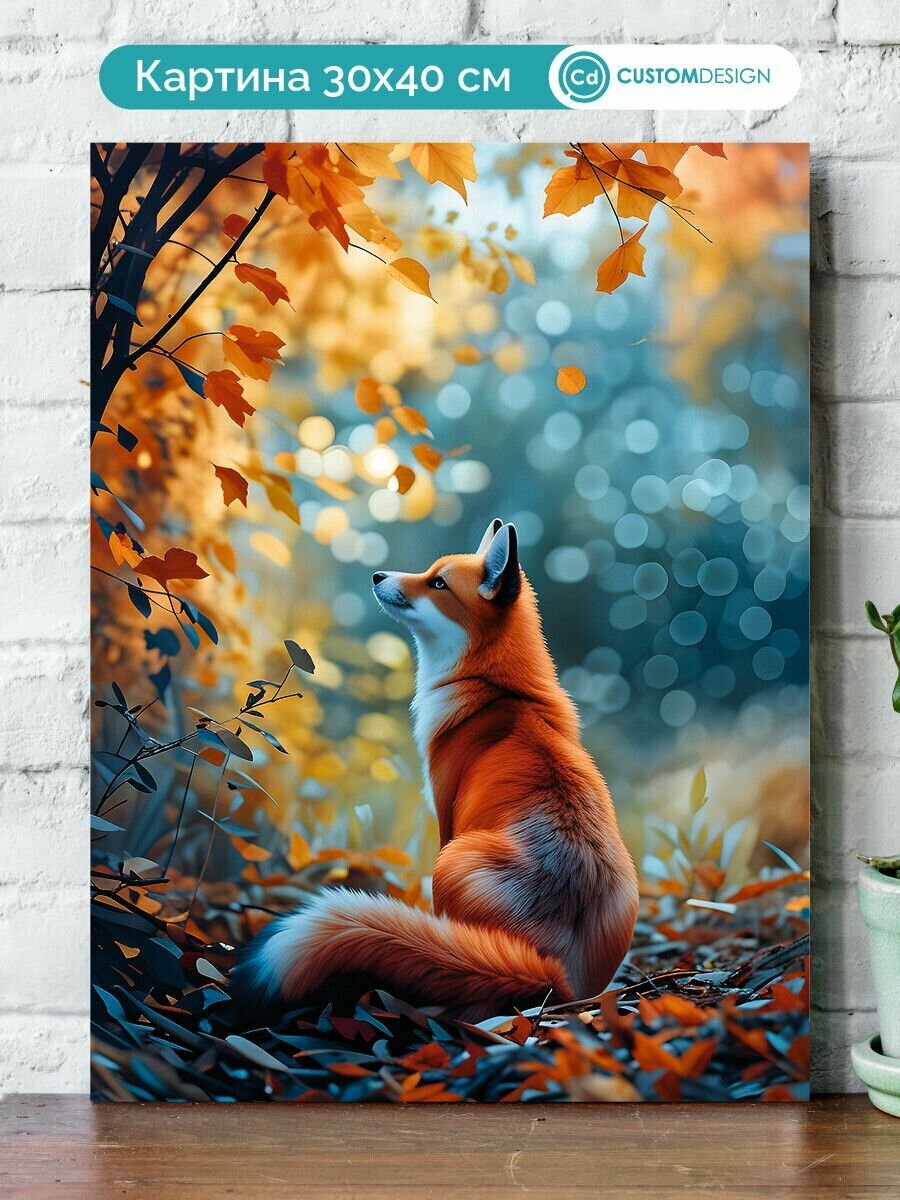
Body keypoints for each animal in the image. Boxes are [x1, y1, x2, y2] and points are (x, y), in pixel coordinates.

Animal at [231, 520, 639, 1023]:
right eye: (429, 570)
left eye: (438, 583)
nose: (377, 575)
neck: (493, 690)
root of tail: (557, 982)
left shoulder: (445, 815)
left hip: (451, 863)